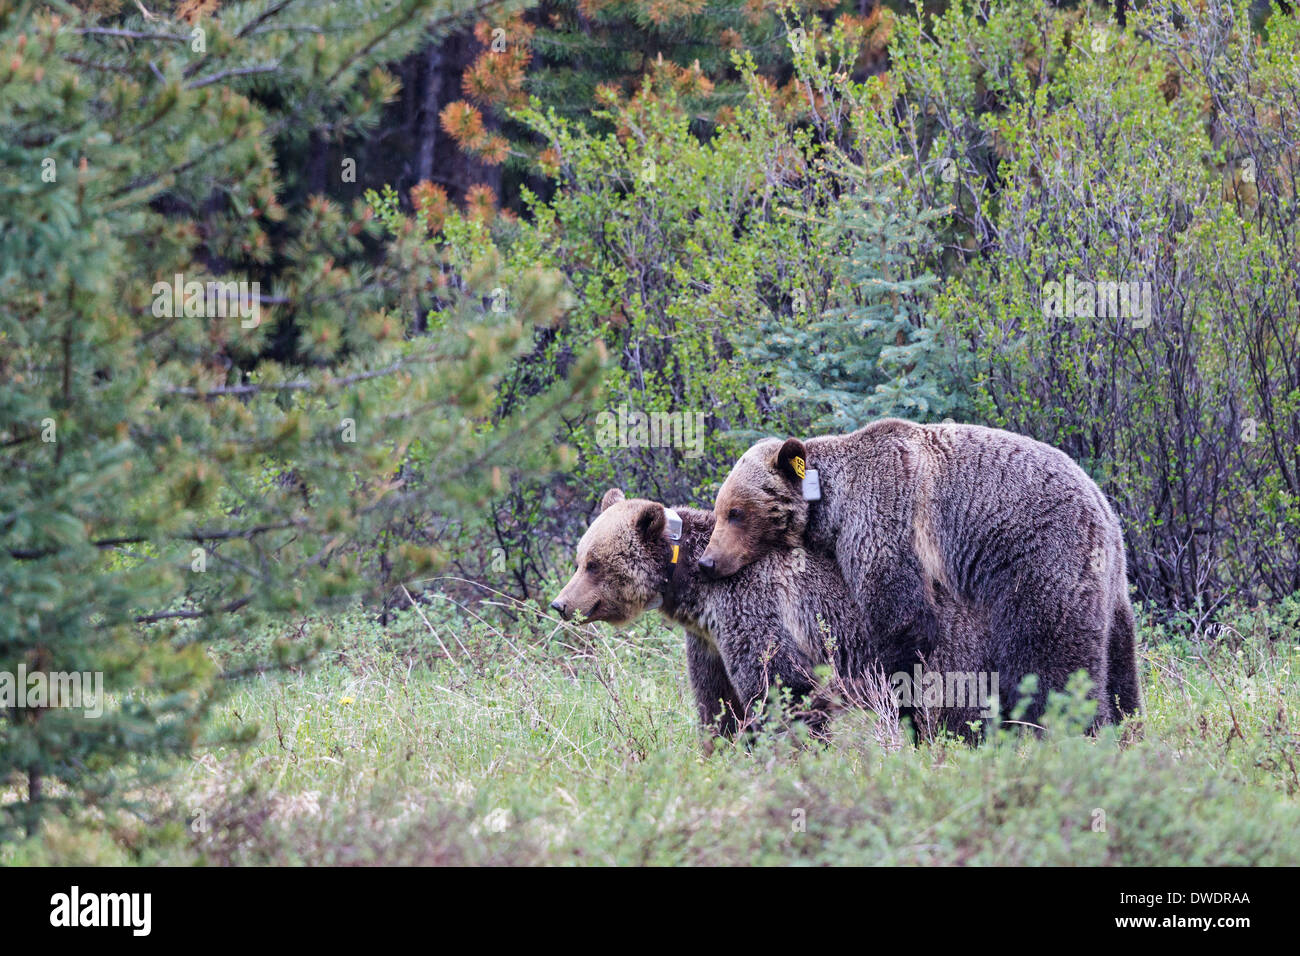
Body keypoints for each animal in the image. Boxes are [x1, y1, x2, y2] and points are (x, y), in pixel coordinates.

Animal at [699, 419, 1141, 727]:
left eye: (736, 512)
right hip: (1113, 592)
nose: (707, 562)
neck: (830, 504)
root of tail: (1104, 514)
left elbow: (904, 621)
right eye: (721, 509)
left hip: (1042, 561)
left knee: (1048, 658)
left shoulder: (884, 519)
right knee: (1120, 665)